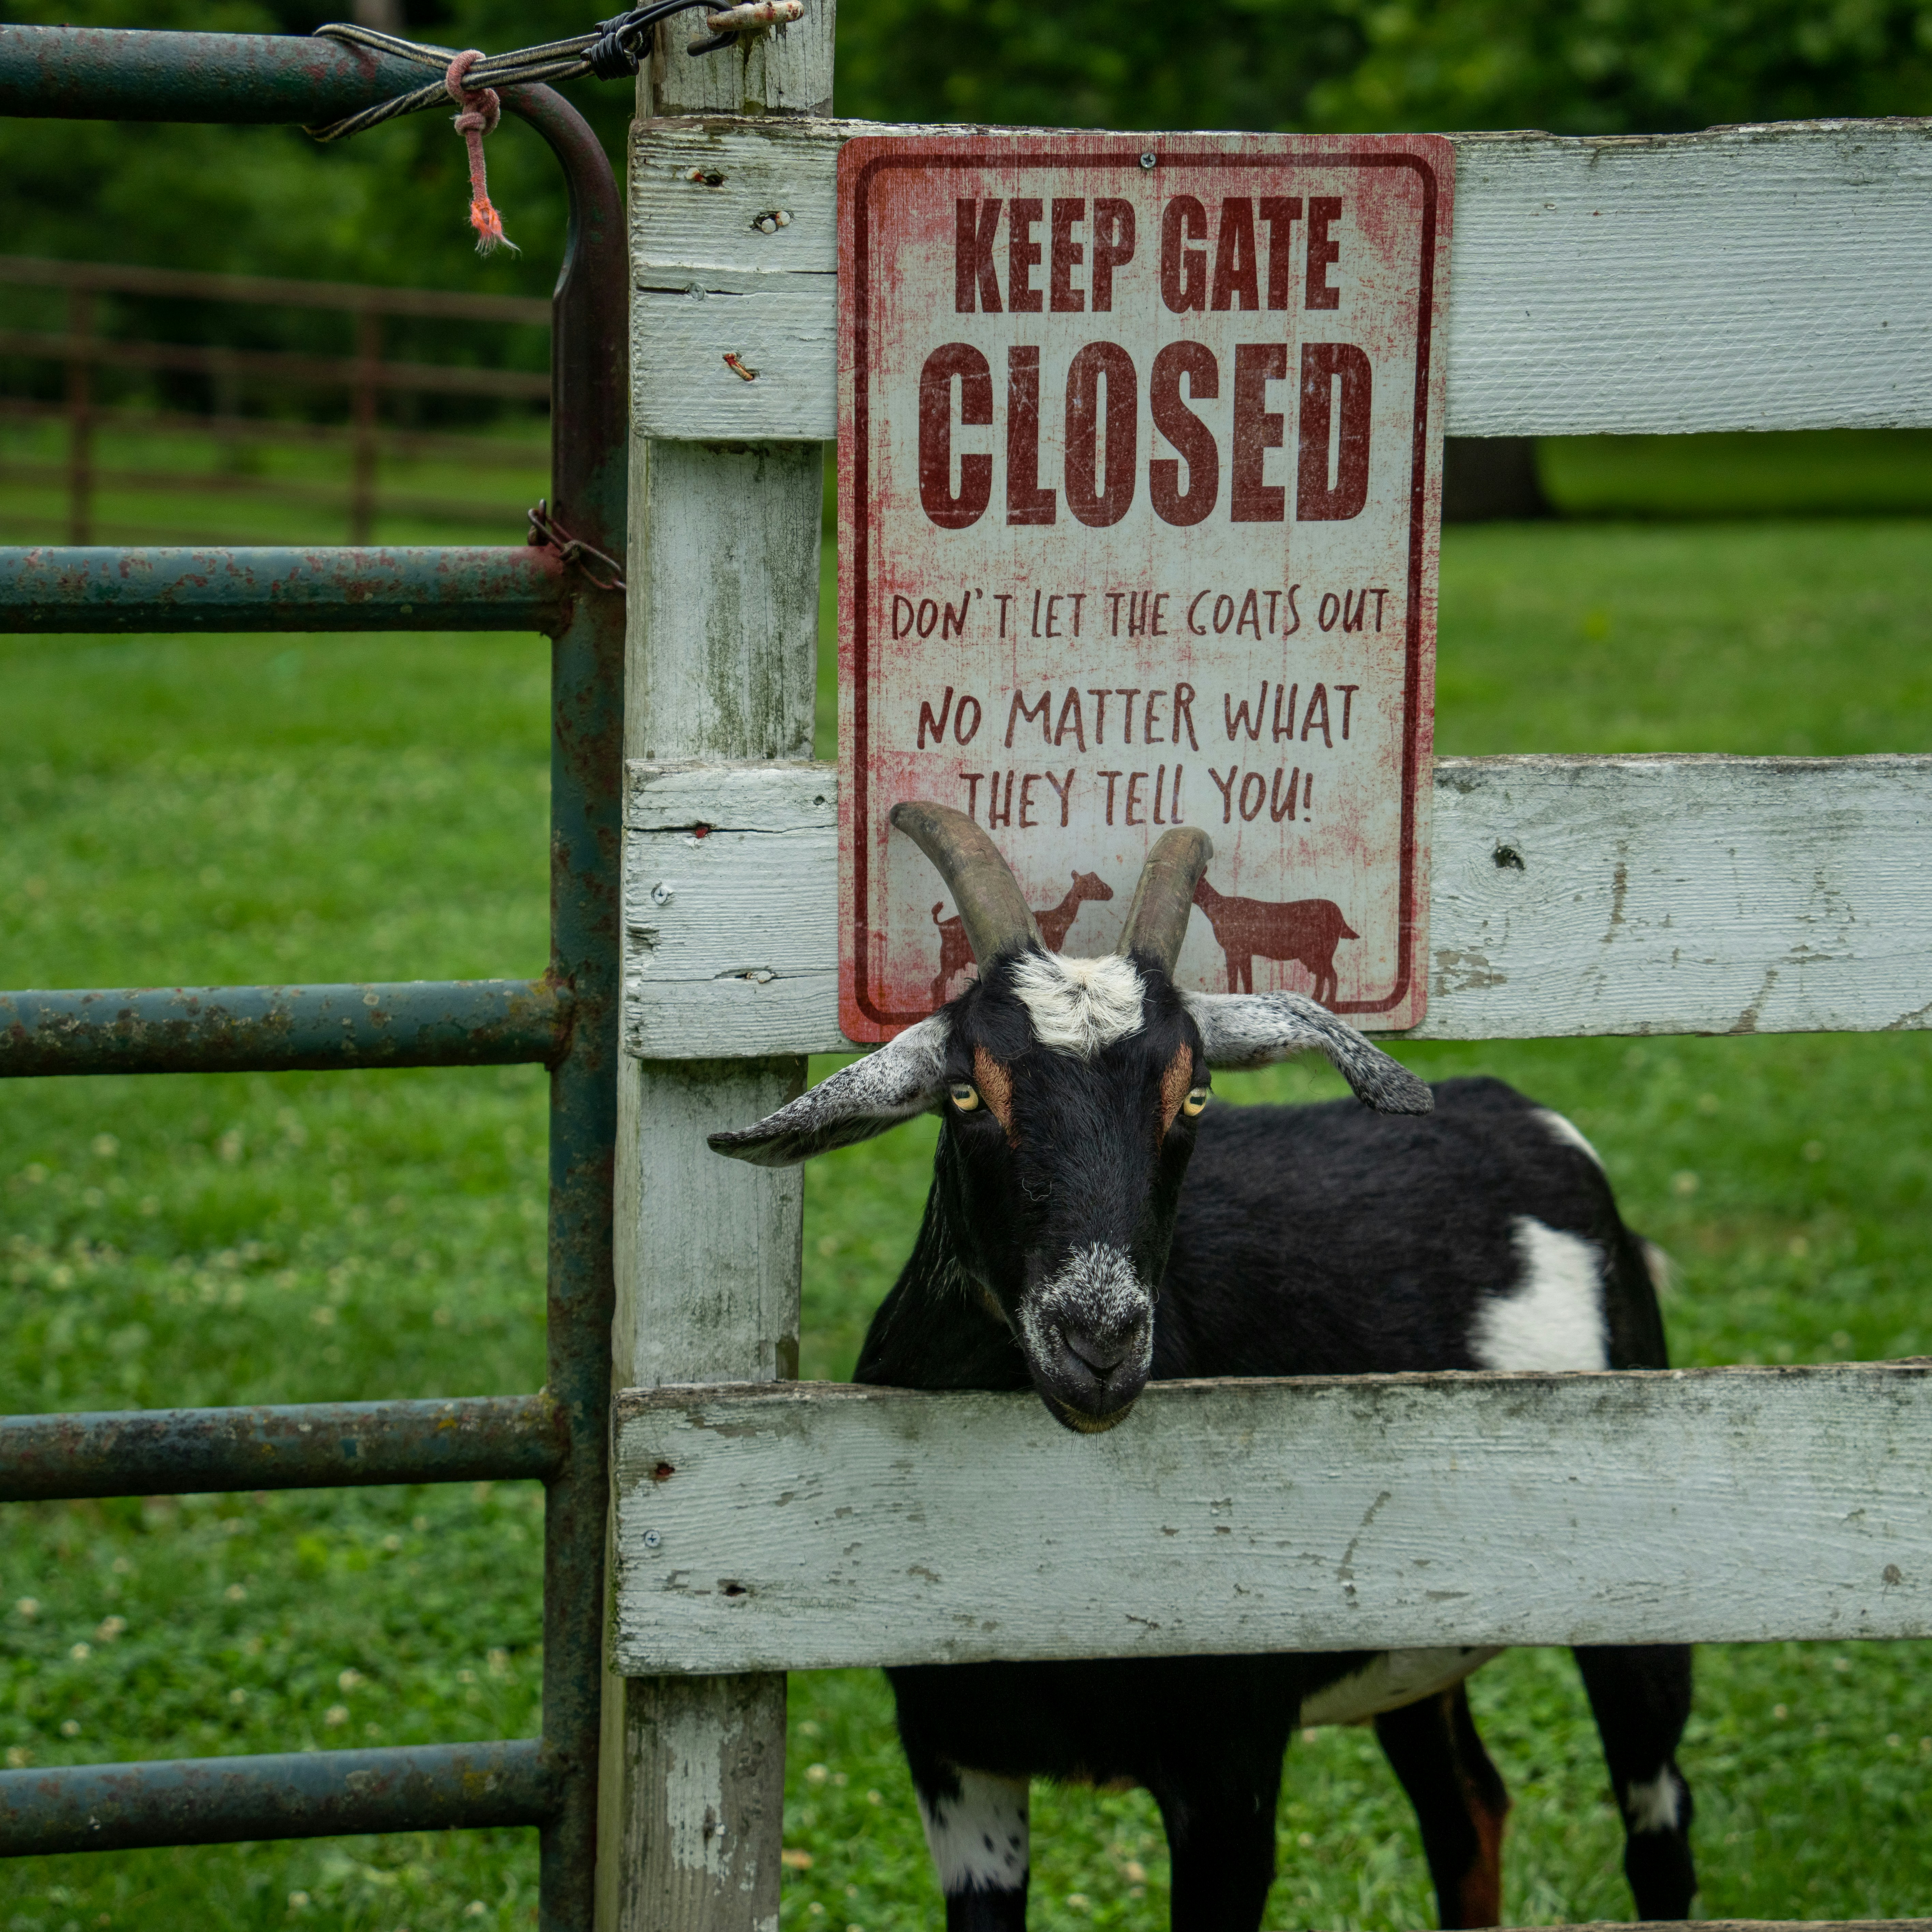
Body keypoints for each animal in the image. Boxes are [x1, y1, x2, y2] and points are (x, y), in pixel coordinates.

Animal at [932, 868, 1114, 1006]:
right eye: (1090, 883)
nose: (1111, 893)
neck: (1057, 920)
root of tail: (941, 925)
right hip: (949, 957)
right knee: (937, 982)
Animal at [1191, 875, 1357, 1002]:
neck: (1217, 912)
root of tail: (1340, 916)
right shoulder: (1238, 951)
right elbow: (1240, 980)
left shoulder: (1239, 948)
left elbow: (1241, 980)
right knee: (1326, 975)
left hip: (1318, 952)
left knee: (1329, 975)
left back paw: (1325, 1002)